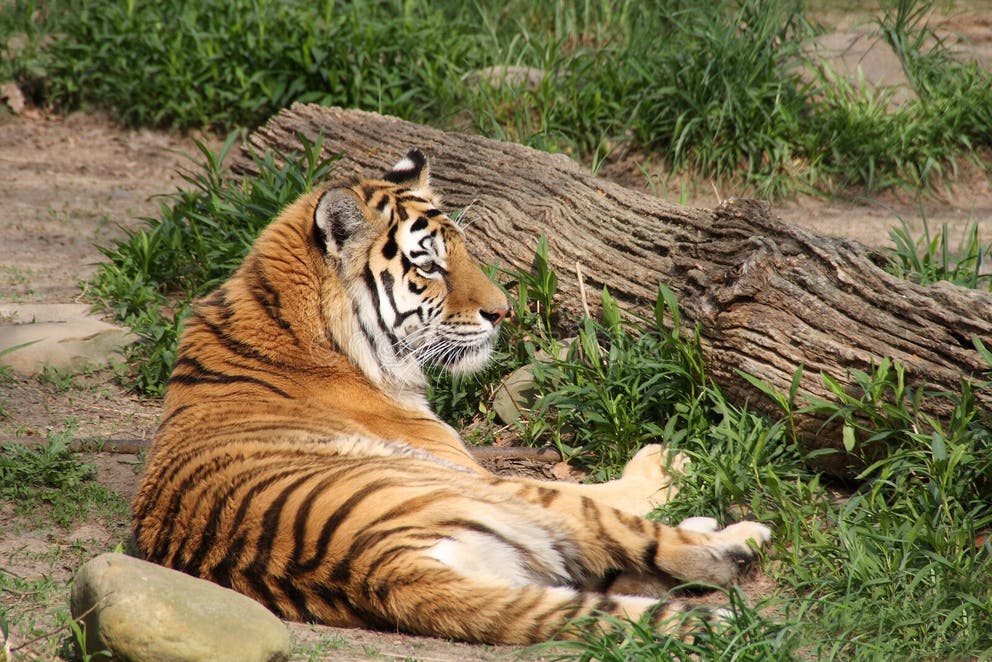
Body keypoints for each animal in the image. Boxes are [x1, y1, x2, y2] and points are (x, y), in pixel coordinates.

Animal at [131, 148, 771, 645]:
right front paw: (667, 459)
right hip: (499, 492)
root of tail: (378, 572)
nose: (503, 312)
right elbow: (607, 487)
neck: (296, 328)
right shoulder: (468, 463)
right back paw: (735, 540)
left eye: (463, 251)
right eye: (430, 265)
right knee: (636, 533)